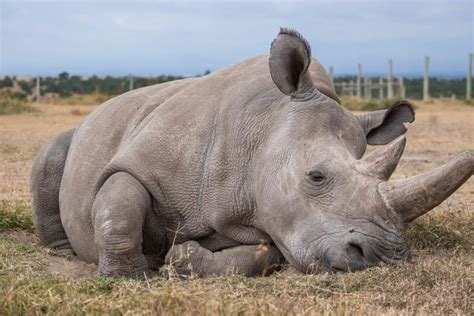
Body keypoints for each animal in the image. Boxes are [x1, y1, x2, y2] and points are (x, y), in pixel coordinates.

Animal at [31, 29, 472, 276]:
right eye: (316, 176)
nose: (383, 257)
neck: (263, 128)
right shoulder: (143, 162)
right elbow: (120, 199)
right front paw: (129, 275)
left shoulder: (276, 216)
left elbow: (263, 255)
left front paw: (180, 258)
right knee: (50, 156)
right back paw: (62, 252)